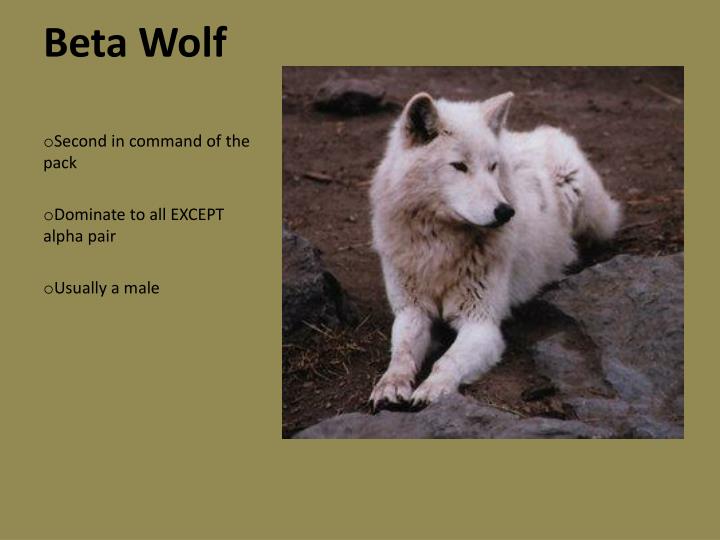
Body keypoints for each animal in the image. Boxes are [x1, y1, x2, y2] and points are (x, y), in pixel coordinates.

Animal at [369, 91, 621, 407]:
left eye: (492, 167)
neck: (441, 246)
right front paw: (390, 384)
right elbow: (401, 353)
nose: (505, 211)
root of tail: (537, 132)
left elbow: (447, 360)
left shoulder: (482, 323)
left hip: (588, 208)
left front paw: (433, 388)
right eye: (459, 166)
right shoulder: (411, 310)